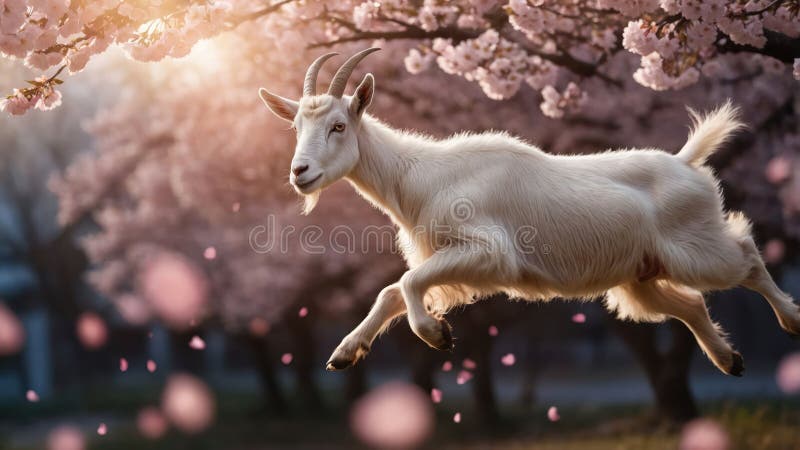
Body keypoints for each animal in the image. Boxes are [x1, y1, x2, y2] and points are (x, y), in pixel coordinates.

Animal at [258, 48, 800, 376]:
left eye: (338, 125)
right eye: (296, 128)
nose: (300, 172)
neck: (420, 174)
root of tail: (687, 162)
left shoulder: (488, 251)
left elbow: (406, 284)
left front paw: (437, 335)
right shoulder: (454, 262)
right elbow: (394, 290)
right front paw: (345, 353)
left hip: (697, 248)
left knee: (746, 254)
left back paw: (791, 320)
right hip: (640, 277)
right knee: (689, 305)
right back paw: (730, 360)